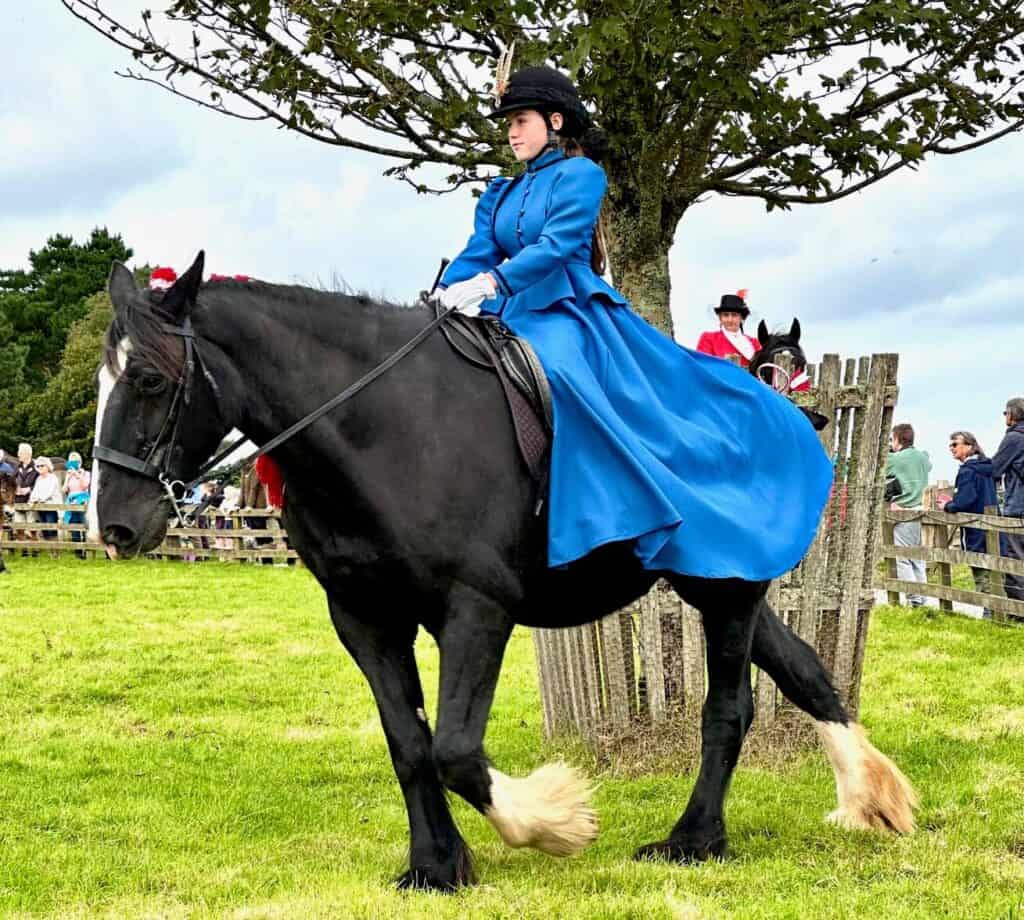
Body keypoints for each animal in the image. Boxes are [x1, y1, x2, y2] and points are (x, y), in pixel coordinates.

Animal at [89, 253, 916, 891]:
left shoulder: (476, 608)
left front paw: (556, 823)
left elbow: (456, 748)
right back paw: (871, 797)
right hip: (709, 582)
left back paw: (695, 839)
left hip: (729, 589)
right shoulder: (362, 616)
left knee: (729, 709)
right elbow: (410, 743)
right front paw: (436, 866)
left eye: (152, 381)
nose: (116, 526)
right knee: (803, 669)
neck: (386, 427)